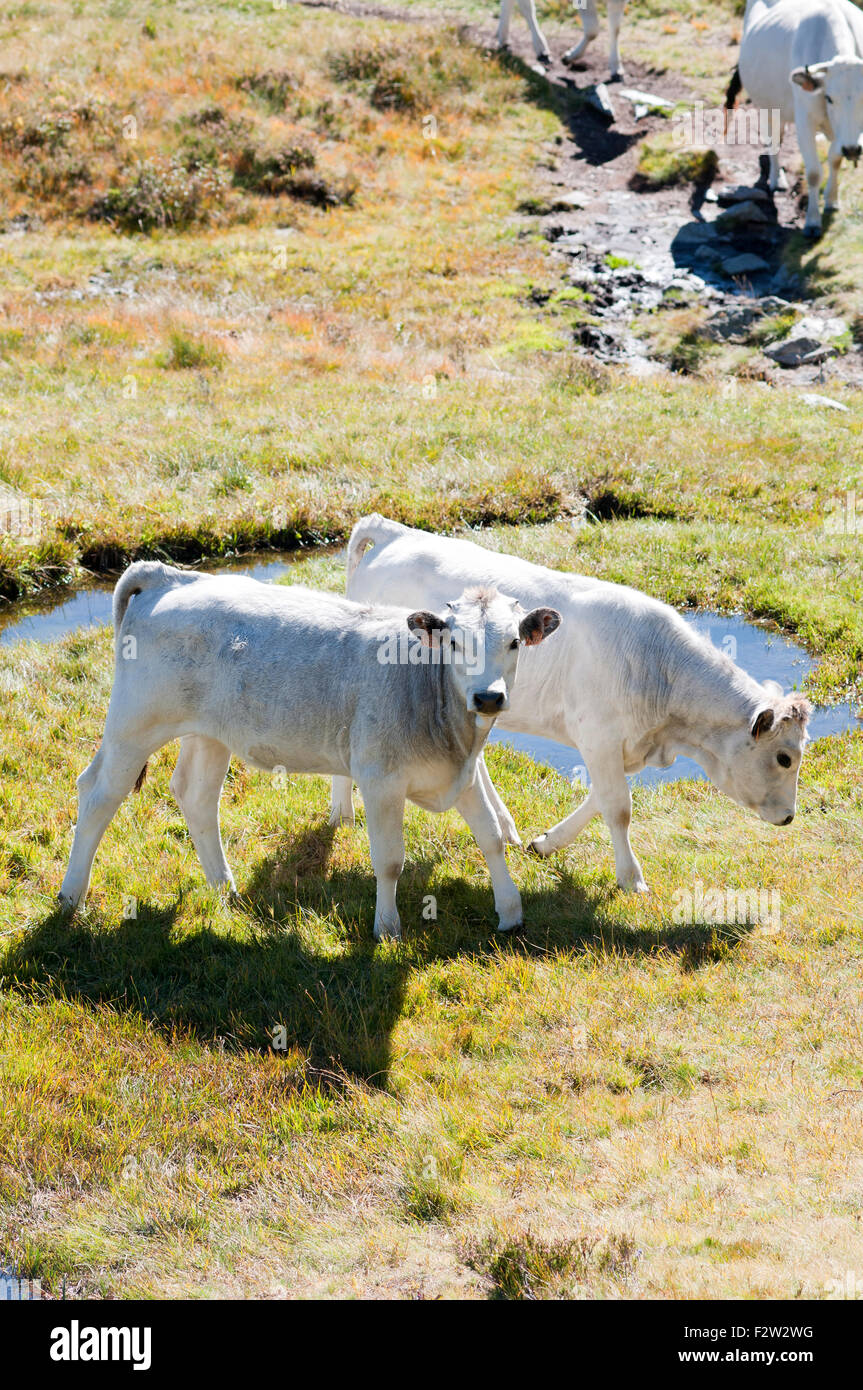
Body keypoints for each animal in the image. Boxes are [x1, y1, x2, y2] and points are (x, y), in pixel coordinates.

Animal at [58, 562, 560, 939]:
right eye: (455, 642)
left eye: (514, 641)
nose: (488, 697)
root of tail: (171, 576)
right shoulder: (380, 780)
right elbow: (390, 861)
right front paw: (387, 928)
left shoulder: (464, 773)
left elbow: (491, 836)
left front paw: (511, 912)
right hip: (134, 724)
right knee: (98, 793)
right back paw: (69, 899)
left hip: (209, 733)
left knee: (195, 796)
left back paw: (225, 889)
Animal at [332, 517, 812, 895]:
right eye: (784, 758)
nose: (790, 818)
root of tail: (395, 532)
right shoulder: (599, 735)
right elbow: (618, 807)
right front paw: (632, 879)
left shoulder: (621, 745)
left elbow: (599, 797)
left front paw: (547, 842)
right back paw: (342, 814)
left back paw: (505, 825)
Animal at [497, 0, 627, 81]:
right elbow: (592, 30)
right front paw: (570, 56)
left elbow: (616, 29)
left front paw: (617, 68)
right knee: (526, 7)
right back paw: (542, 50)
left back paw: (503, 37)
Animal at [729, 0, 863, 236]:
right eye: (829, 98)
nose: (853, 150)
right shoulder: (805, 123)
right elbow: (814, 173)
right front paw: (812, 222)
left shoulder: (845, 134)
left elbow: (835, 159)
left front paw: (832, 200)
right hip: (767, 106)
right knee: (773, 141)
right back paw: (776, 179)